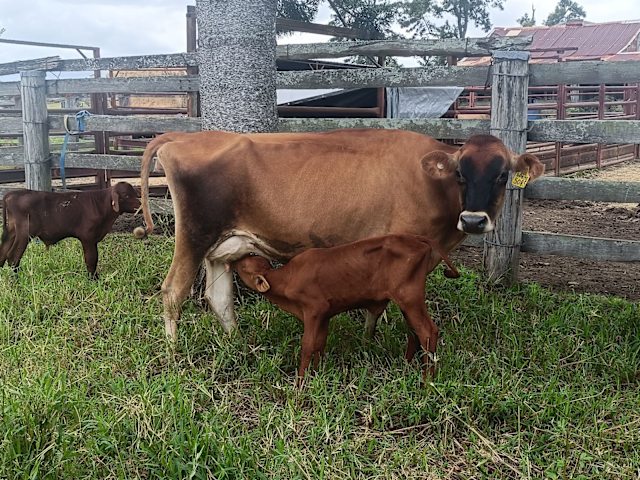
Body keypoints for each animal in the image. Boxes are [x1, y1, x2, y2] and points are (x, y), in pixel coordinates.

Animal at [0, 182, 141, 278]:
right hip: (24, 234)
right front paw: (93, 279)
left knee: (4, 251)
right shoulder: (88, 237)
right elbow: (91, 259)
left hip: (12, 232)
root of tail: (12, 194)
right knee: (12, 257)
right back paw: (16, 278)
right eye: (126, 195)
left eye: (135, 194)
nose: (140, 205)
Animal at [133, 129, 544, 341]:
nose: (473, 220)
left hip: (223, 244)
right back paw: (174, 353)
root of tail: (186, 137)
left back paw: (236, 342)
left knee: (218, 298)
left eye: (503, 175)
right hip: (194, 235)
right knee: (173, 292)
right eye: (460, 173)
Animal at [232, 234, 460, 381]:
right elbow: (320, 343)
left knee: (427, 331)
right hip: (407, 302)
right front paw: (317, 373)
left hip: (410, 297)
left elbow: (307, 345)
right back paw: (407, 365)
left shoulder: (314, 310)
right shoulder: (324, 315)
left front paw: (300, 382)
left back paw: (427, 379)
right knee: (414, 331)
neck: (288, 278)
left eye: (244, 265)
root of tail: (418, 240)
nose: (237, 258)